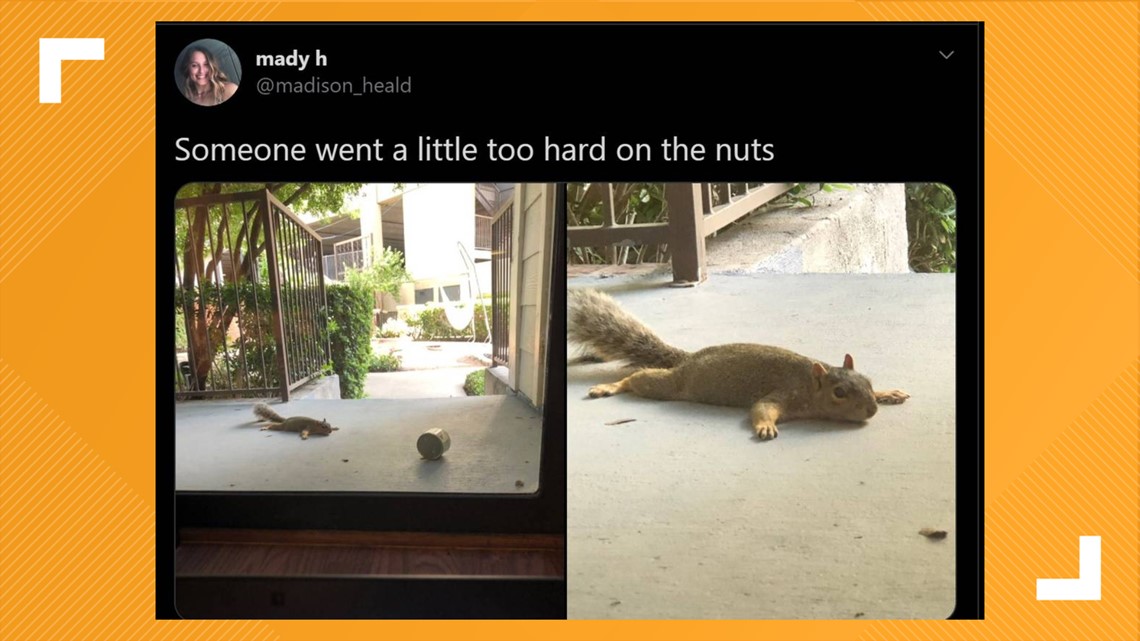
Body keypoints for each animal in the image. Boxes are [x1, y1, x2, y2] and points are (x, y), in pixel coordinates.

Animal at [568, 288, 909, 441]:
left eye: (868, 382)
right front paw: (765, 426)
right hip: (671, 385)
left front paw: (889, 393)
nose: (871, 410)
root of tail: (689, 358)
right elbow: (762, 408)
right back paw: (610, 386)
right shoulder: (785, 392)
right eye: (839, 393)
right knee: (638, 379)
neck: (810, 383)